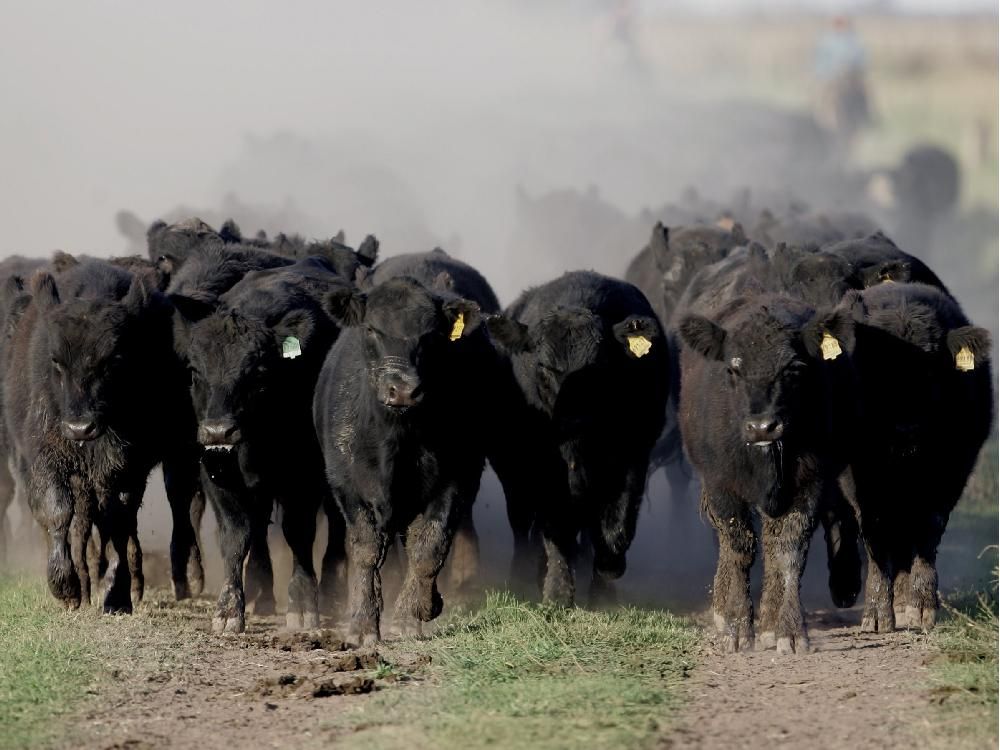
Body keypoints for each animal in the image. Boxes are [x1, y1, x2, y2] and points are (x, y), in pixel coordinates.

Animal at [314, 276, 487, 644]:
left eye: (430, 335)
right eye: (371, 329)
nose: (404, 390)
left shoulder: (455, 480)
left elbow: (429, 547)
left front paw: (417, 610)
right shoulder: (347, 485)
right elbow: (365, 551)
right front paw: (362, 625)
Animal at [486, 271, 669, 606]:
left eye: (599, 367)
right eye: (544, 368)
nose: (573, 421)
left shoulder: (634, 455)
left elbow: (617, 526)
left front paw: (605, 587)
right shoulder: (543, 464)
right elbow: (557, 526)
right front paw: (557, 592)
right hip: (512, 471)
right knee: (522, 523)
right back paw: (522, 574)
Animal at [676, 291, 855, 654]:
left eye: (793, 368)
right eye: (733, 369)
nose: (763, 427)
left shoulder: (809, 483)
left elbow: (787, 553)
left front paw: (790, 632)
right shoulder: (722, 486)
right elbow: (738, 548)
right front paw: (736, 628)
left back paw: (770, 623)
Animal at [829, 282, 992, 632]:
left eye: (931, 366)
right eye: (873, 367)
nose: (905, 428)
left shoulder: (949, 474)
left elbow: (927, 531)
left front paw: (922, 606)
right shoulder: (862, 481)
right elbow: (876, 536)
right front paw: (877, 614)